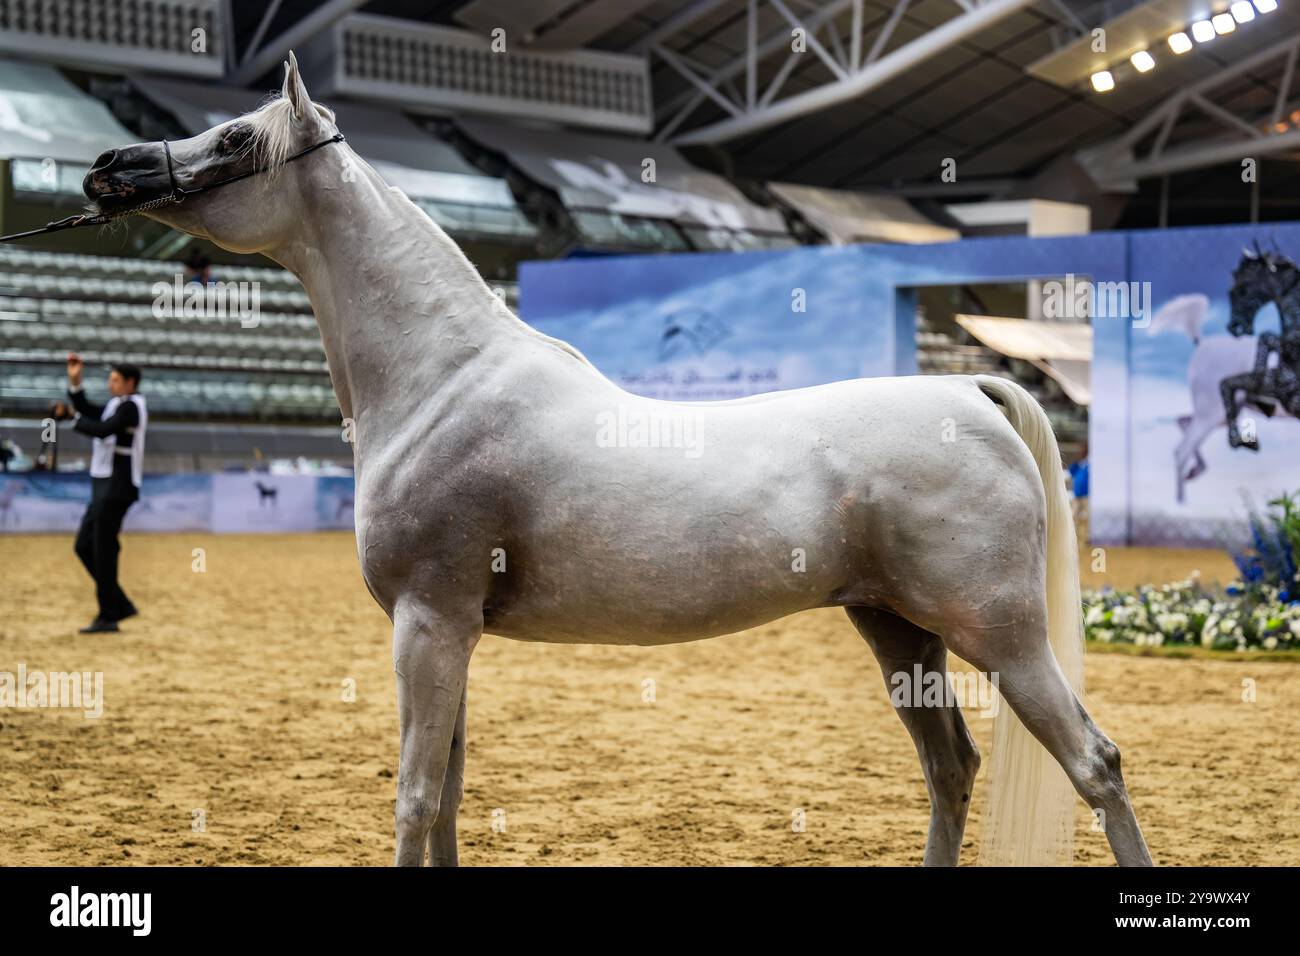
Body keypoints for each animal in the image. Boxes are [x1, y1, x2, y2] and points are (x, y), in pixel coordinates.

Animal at [81, 54, 1151, 868]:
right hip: (898, 632)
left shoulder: (427, 624)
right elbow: (452, 795)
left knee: (1095, 762)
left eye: (234, 139)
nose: (108, 168)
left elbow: (415, 797)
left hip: (998, 634)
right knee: (951, 766)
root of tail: (967, 394)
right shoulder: (452, 632)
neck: (444, 379)